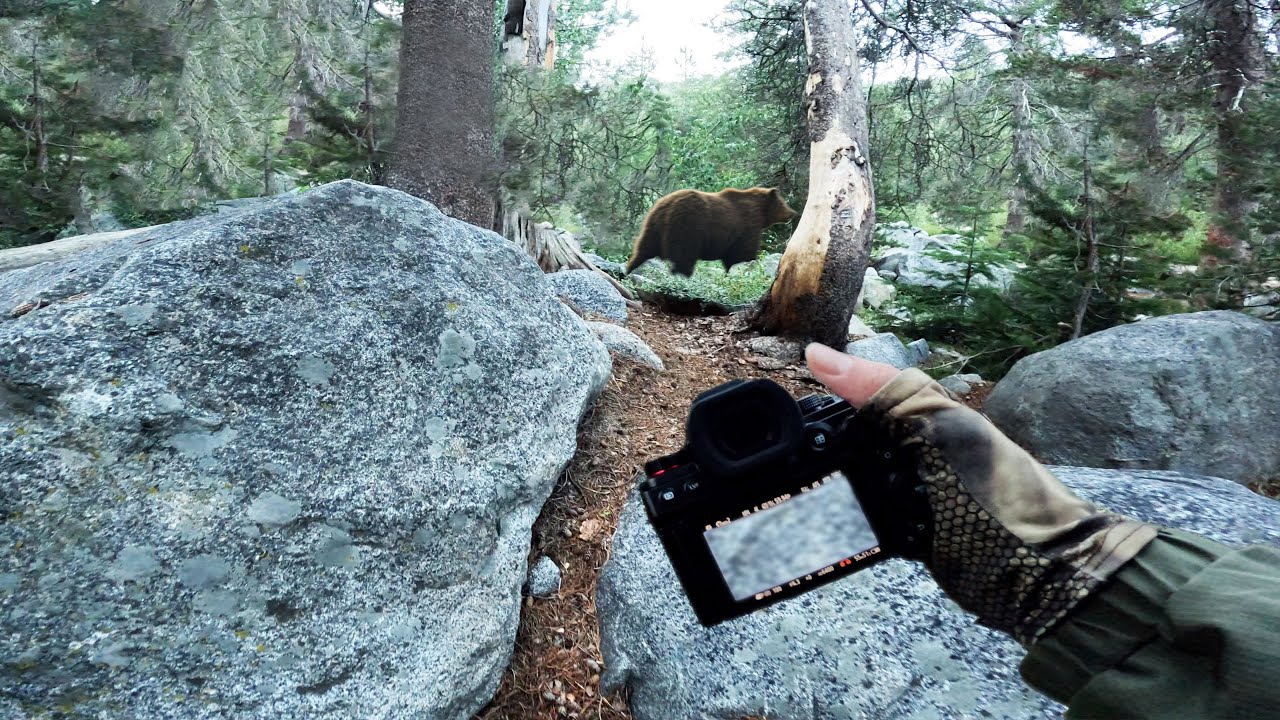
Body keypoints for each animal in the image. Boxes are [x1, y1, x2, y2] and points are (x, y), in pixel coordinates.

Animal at [623, 187, 797, 277]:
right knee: (683, 257)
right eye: (783, 203)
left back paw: (629, 269)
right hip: (687, 227)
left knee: (643, 251)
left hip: (653, 228)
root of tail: (666, 207)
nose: (793, 213)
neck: (760, 213)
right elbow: (742, 254)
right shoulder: (747, 228)